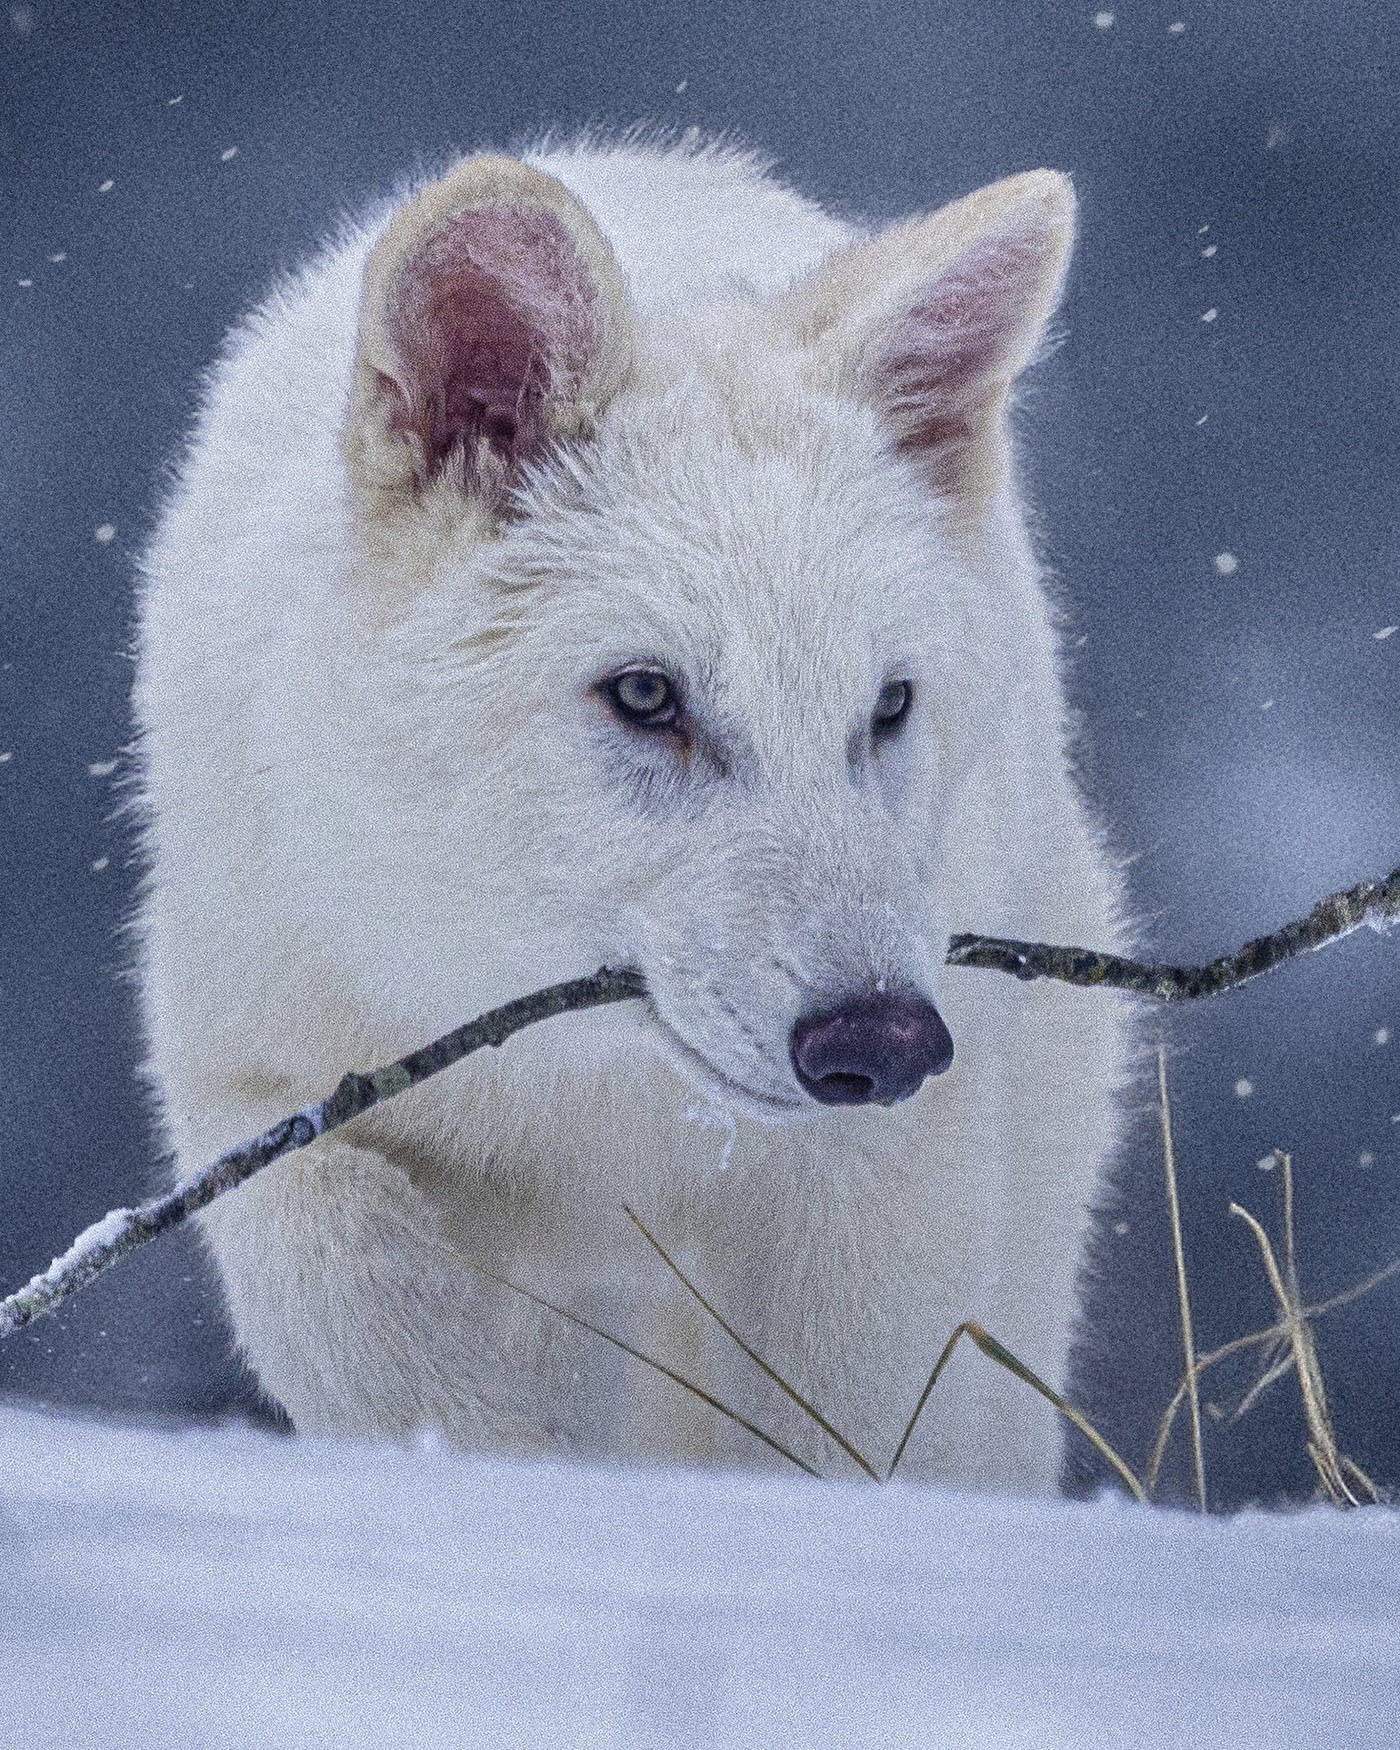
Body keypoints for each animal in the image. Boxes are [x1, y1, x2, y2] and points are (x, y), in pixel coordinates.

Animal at [132, 131, 1137, 1491]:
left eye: (885, 705)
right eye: (646, 694)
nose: (881, 1042)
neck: (591, 1089)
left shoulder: (874, 1183)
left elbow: (838, 1436)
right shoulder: (258, 1087)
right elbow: (360, 1306)